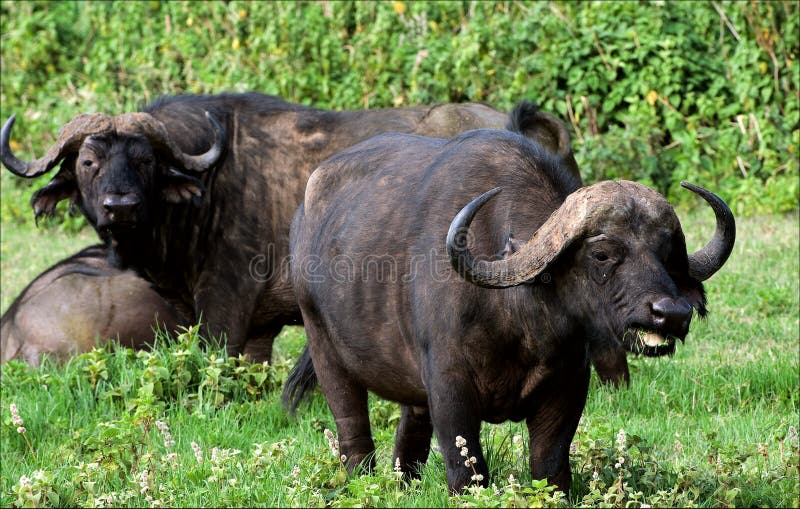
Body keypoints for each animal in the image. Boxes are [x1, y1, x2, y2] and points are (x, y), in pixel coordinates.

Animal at [284, 103, 735, 493]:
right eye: (603, 254)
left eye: (667, 254)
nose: (671, 313)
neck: (518, 318)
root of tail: (304, 212)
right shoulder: (449, 387)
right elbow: (466, 469)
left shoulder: (568, 387)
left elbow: (551, 466)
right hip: (324, 347)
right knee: (353, 430)